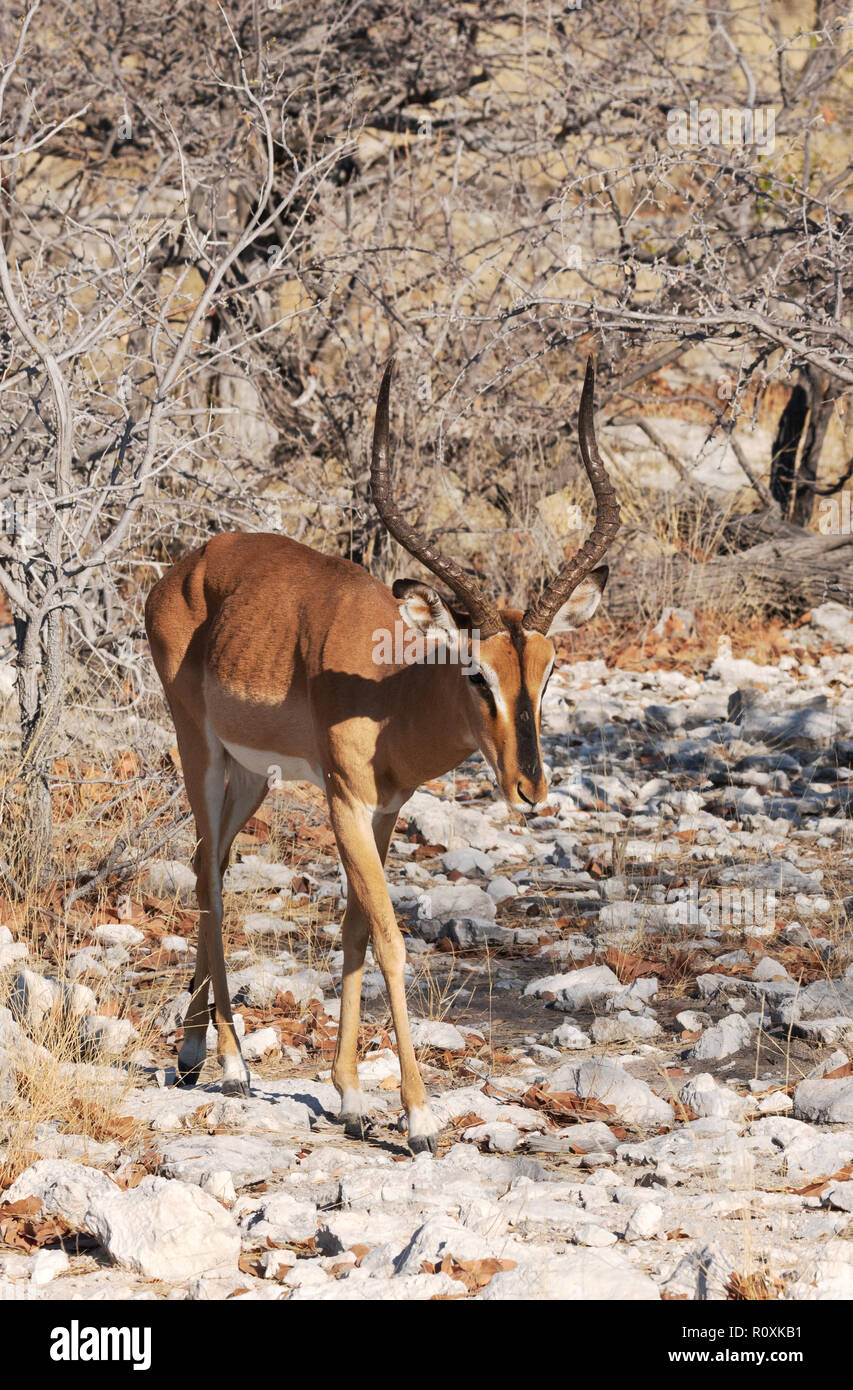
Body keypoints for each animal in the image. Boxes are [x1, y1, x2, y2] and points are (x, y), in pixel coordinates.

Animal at [144, 356, 620, 1153]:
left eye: (549, 670)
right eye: (477, 674)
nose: (529, 788)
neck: (390, 687)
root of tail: (184, 567)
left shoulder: (387, 810)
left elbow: (356, 933)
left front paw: (347, 1096)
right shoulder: (344, 801)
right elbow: (393, 941)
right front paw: (419, 1116)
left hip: (253, 776)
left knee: (205, 860)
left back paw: (190, 1052)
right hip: (199, 750)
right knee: (209, 879)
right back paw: (234, 1067)